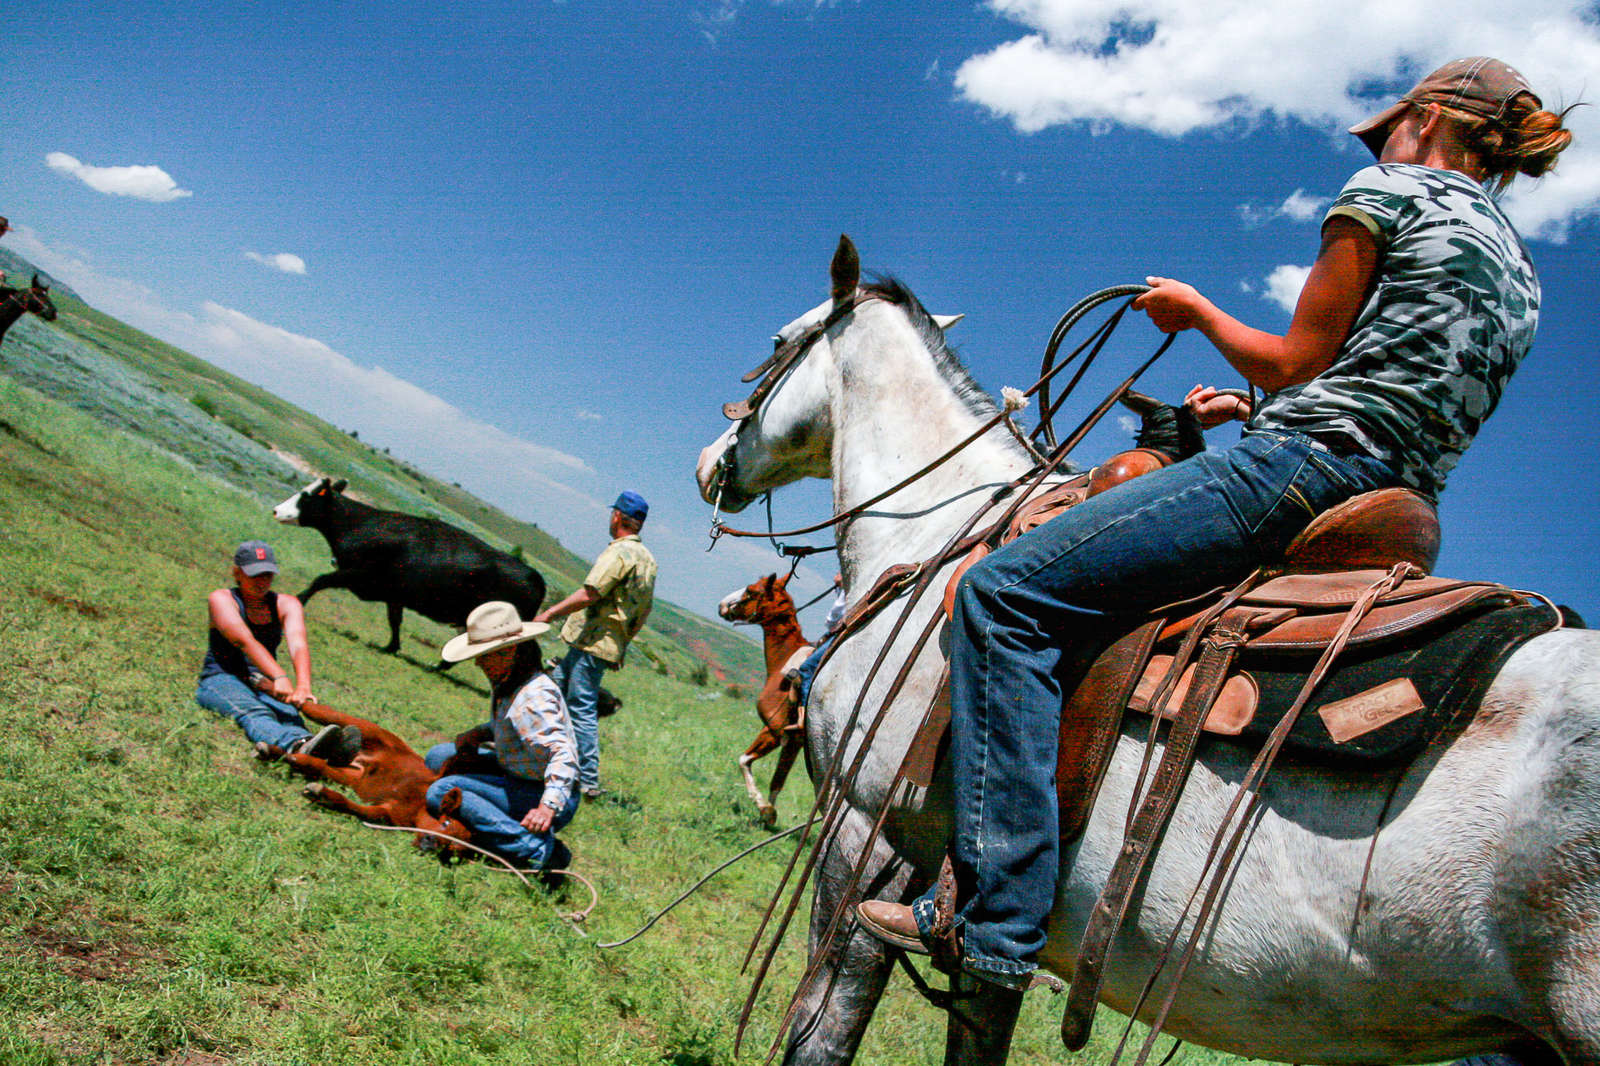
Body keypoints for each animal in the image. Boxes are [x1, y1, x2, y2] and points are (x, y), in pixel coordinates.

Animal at [273, 477, 546, 657]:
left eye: (306, 496)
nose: (276, 510)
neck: (361, 525)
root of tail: (534, 576)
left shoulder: (358, 573)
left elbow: (319, 580)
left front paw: (297, 601)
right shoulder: (394, 593)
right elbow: (395, 620)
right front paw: (391, 647)